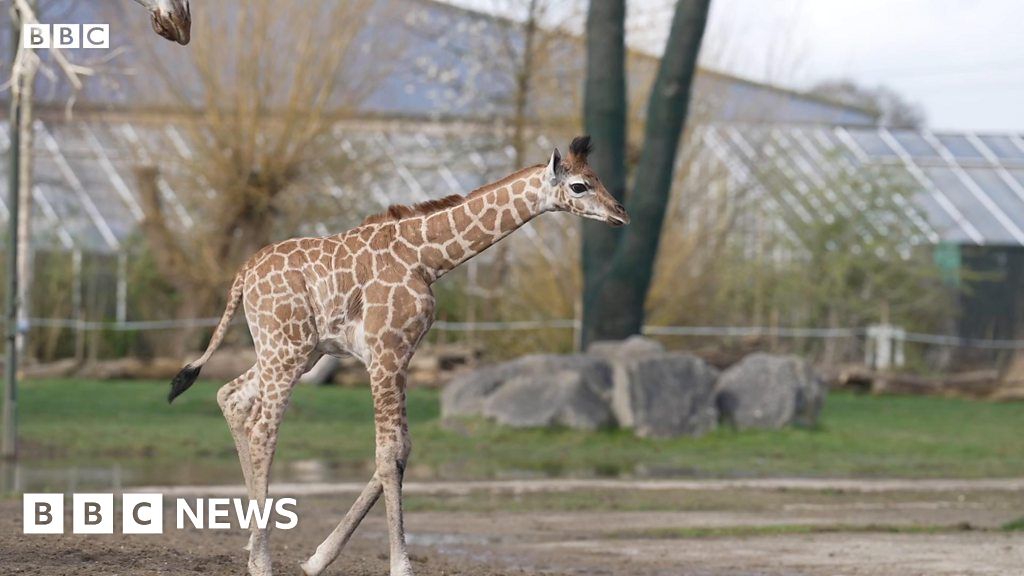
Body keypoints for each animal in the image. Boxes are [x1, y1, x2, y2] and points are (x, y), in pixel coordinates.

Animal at [167, 135, 628, 576]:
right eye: (580, 185)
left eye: (598, 178)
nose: (620, 214)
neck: (428, 258)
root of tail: (243, 274)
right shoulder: (386, 351)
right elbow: (389, 453)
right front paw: (400, 565)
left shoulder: (400, 354)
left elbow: (402, 448)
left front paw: (318, 558)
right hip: (286, 347)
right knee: (263, 428)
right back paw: (261, 562)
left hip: (296, 350)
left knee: (230, 396)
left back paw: (251, 544)